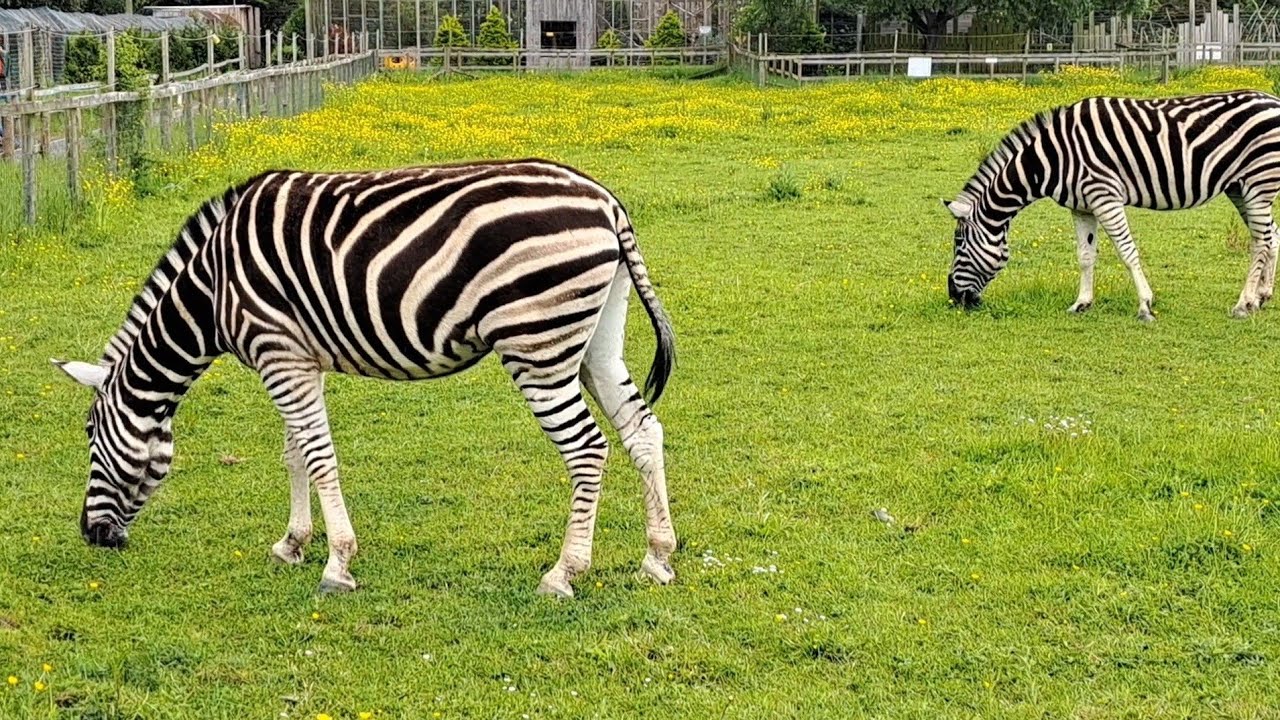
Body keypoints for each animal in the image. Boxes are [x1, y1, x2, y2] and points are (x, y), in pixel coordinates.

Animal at [54, 159, 677, 599]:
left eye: (90, 437)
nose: (90, 536)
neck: (211, 289)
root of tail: (606, 202)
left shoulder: (279, 354)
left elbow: (319, 455)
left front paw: (337, 564)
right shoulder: (298, 359)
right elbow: (296, 452)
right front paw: (293, 543)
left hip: (537, 346)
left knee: (588, 448)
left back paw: (564, 573)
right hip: (594, 342)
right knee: (643, 429)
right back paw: (657, 557)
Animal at [945, 90, 1280, 321]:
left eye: (959, 244)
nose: (953, 298)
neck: (1051, 158)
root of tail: (1272, 98)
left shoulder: (1104, 195)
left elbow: (1127, 252)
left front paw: (1145, 306)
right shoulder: (1082, 206)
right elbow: (1085, 255)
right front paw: (1081, 303)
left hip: (1258, 185)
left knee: (1260, 241)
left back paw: (1243, 304)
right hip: (1240, 188)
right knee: (1272, 235)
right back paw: (1261, 297)